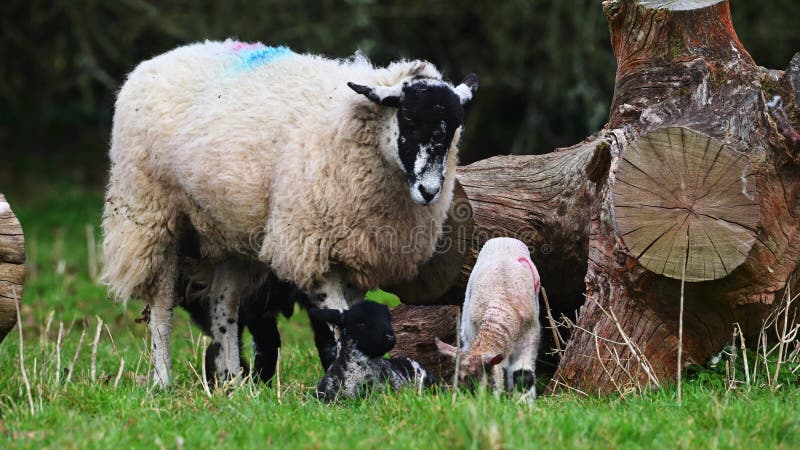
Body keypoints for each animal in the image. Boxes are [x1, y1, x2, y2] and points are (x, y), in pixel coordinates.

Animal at [100, 39, 478, 387]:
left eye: (454, 127)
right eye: (409, 119)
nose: (429, 191)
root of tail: (157, 60)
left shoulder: (355, 254)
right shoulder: (311, 245)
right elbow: (338, 323)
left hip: (232, 232)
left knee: (224, 306)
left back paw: (233, 382)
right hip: (152, 216)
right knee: (162, 308)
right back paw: (164, 380)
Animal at [435, 237, 541, 401]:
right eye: (458, 378)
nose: (468, 401)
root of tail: (504, 238)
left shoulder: (530, 337)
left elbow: (523, 375)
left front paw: (524, 404)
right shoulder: (473, 331)